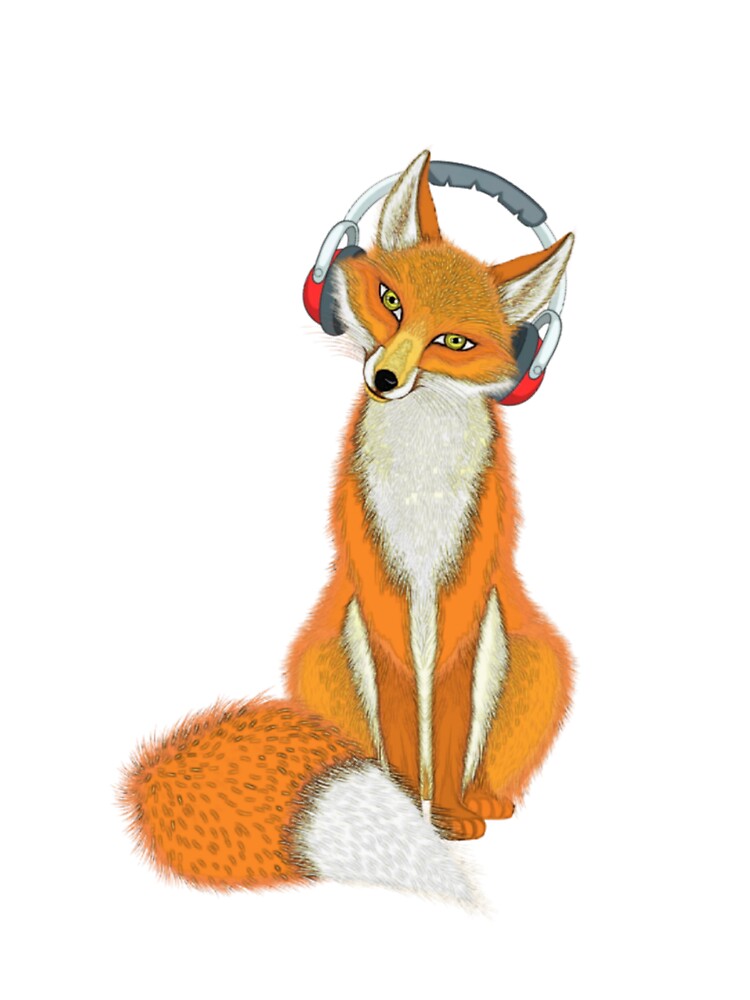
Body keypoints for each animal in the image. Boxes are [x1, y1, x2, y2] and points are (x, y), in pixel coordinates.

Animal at [120, 151, 575, 903]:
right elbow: (398, 712)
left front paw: (447, 814)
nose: (386, 378)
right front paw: (408, 806)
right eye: (391, 301)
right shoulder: (380, 583)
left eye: (453, 341)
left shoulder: (462, 591)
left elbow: (450, 717)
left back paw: (476, 798)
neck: (420, 482)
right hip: (325, 652)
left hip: (535, 657)